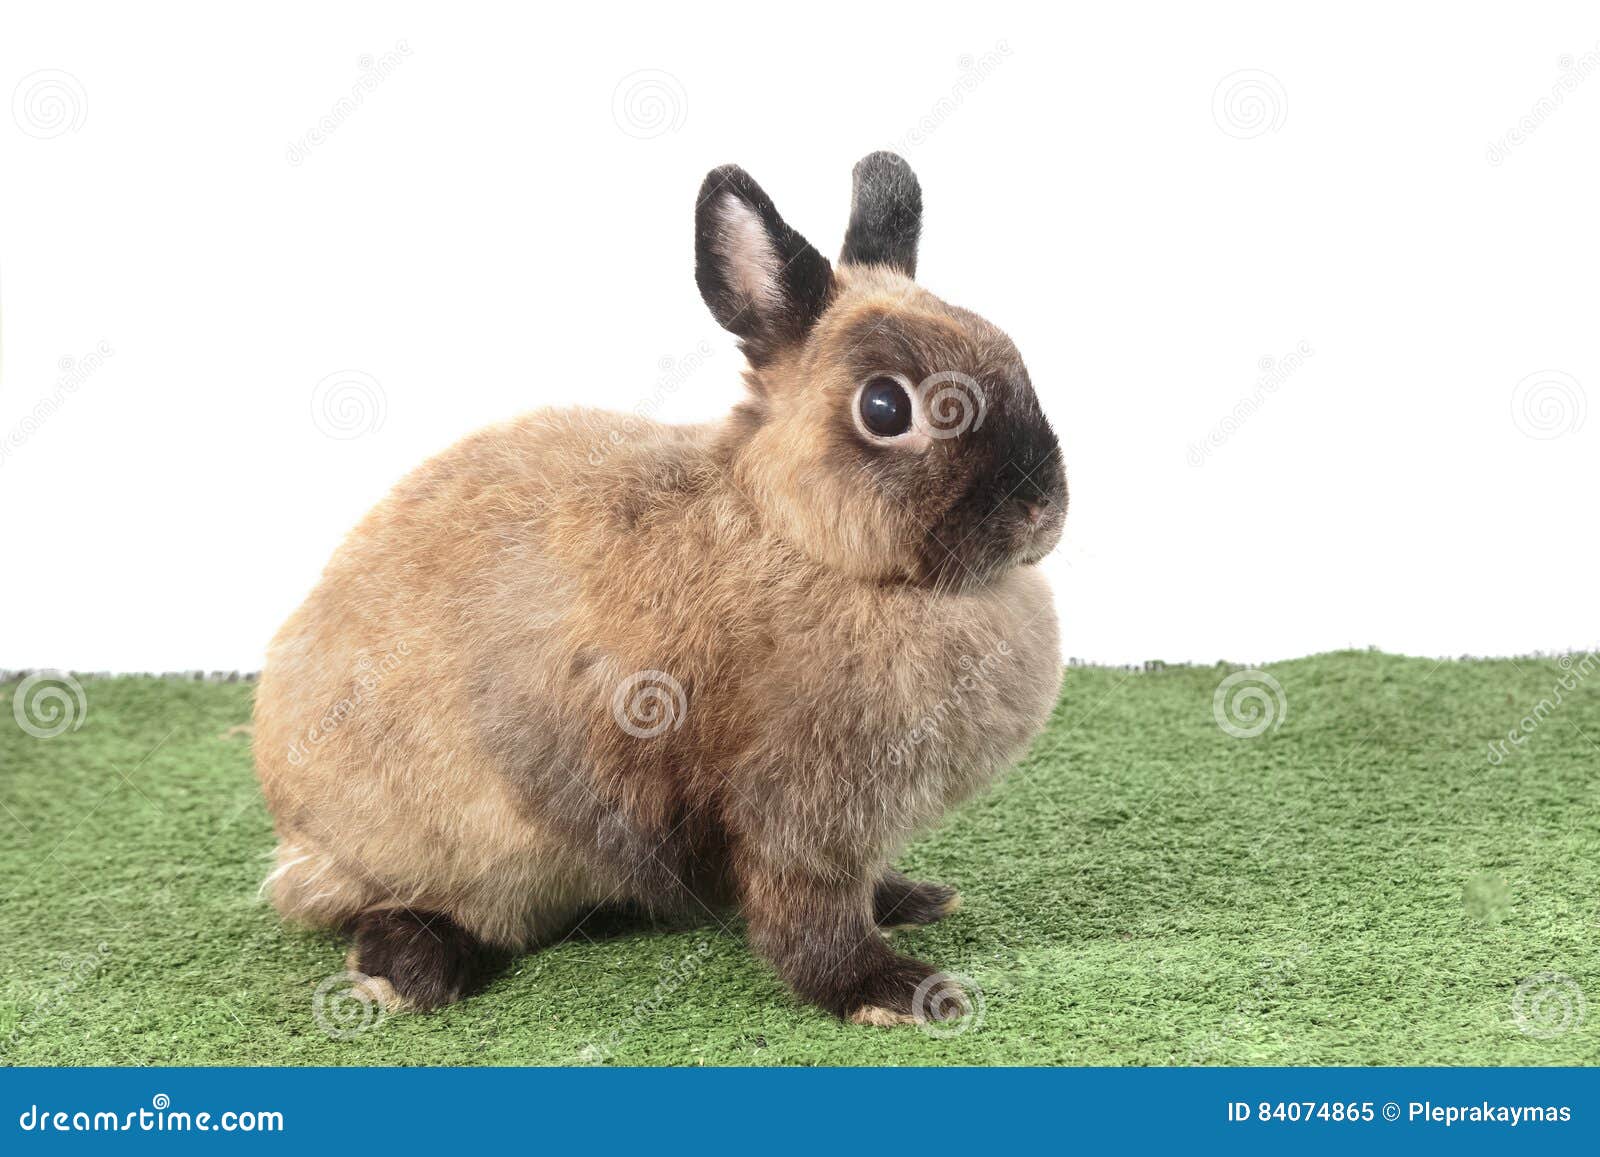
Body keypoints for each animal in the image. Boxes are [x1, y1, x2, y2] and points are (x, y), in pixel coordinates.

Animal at [253, 151, 1067, 1026]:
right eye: (886, 407)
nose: (1039, 505)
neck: (799, 540)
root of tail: (290, 817)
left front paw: (908, 901)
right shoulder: (797, 810)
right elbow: (807, 917)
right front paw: (896, 991)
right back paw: (407, 968)